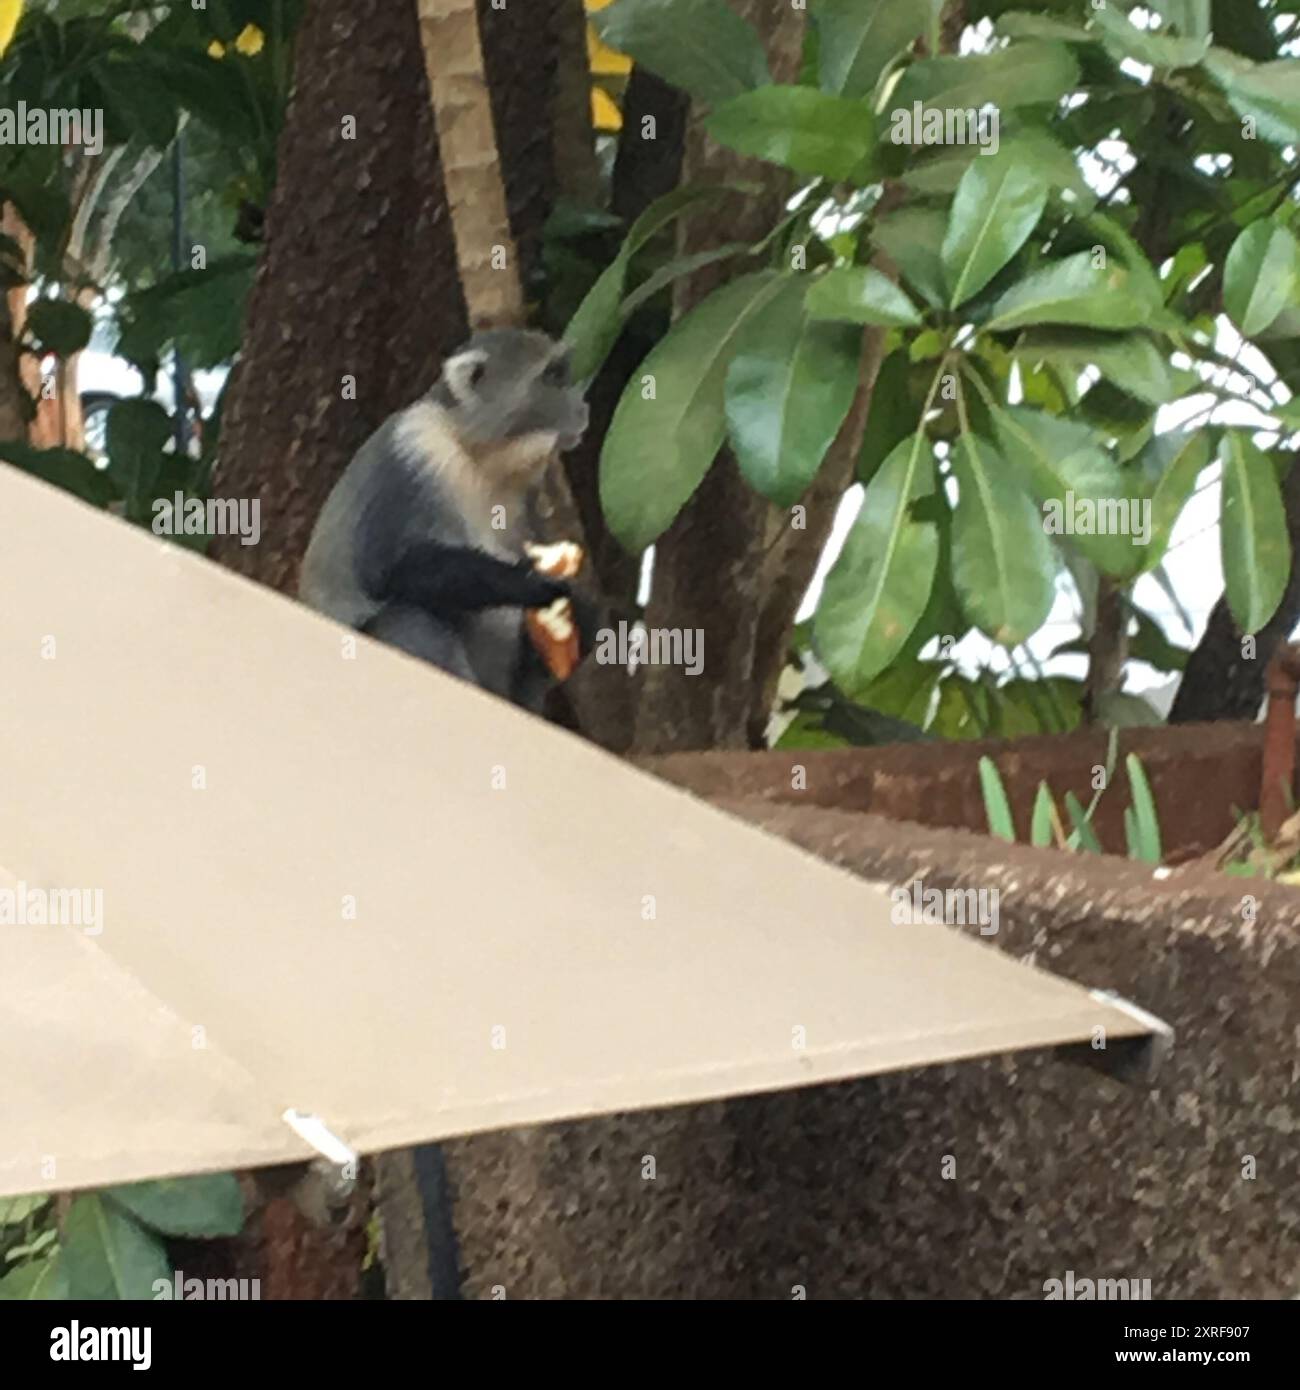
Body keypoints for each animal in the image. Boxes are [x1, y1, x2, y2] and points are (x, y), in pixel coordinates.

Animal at [298, 329, 593, 712]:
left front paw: (584, 614)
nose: (582, 408)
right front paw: (528, 581)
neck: (478, 456)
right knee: (406, 616)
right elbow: (390, 569)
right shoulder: (415, 447)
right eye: (553, 377)